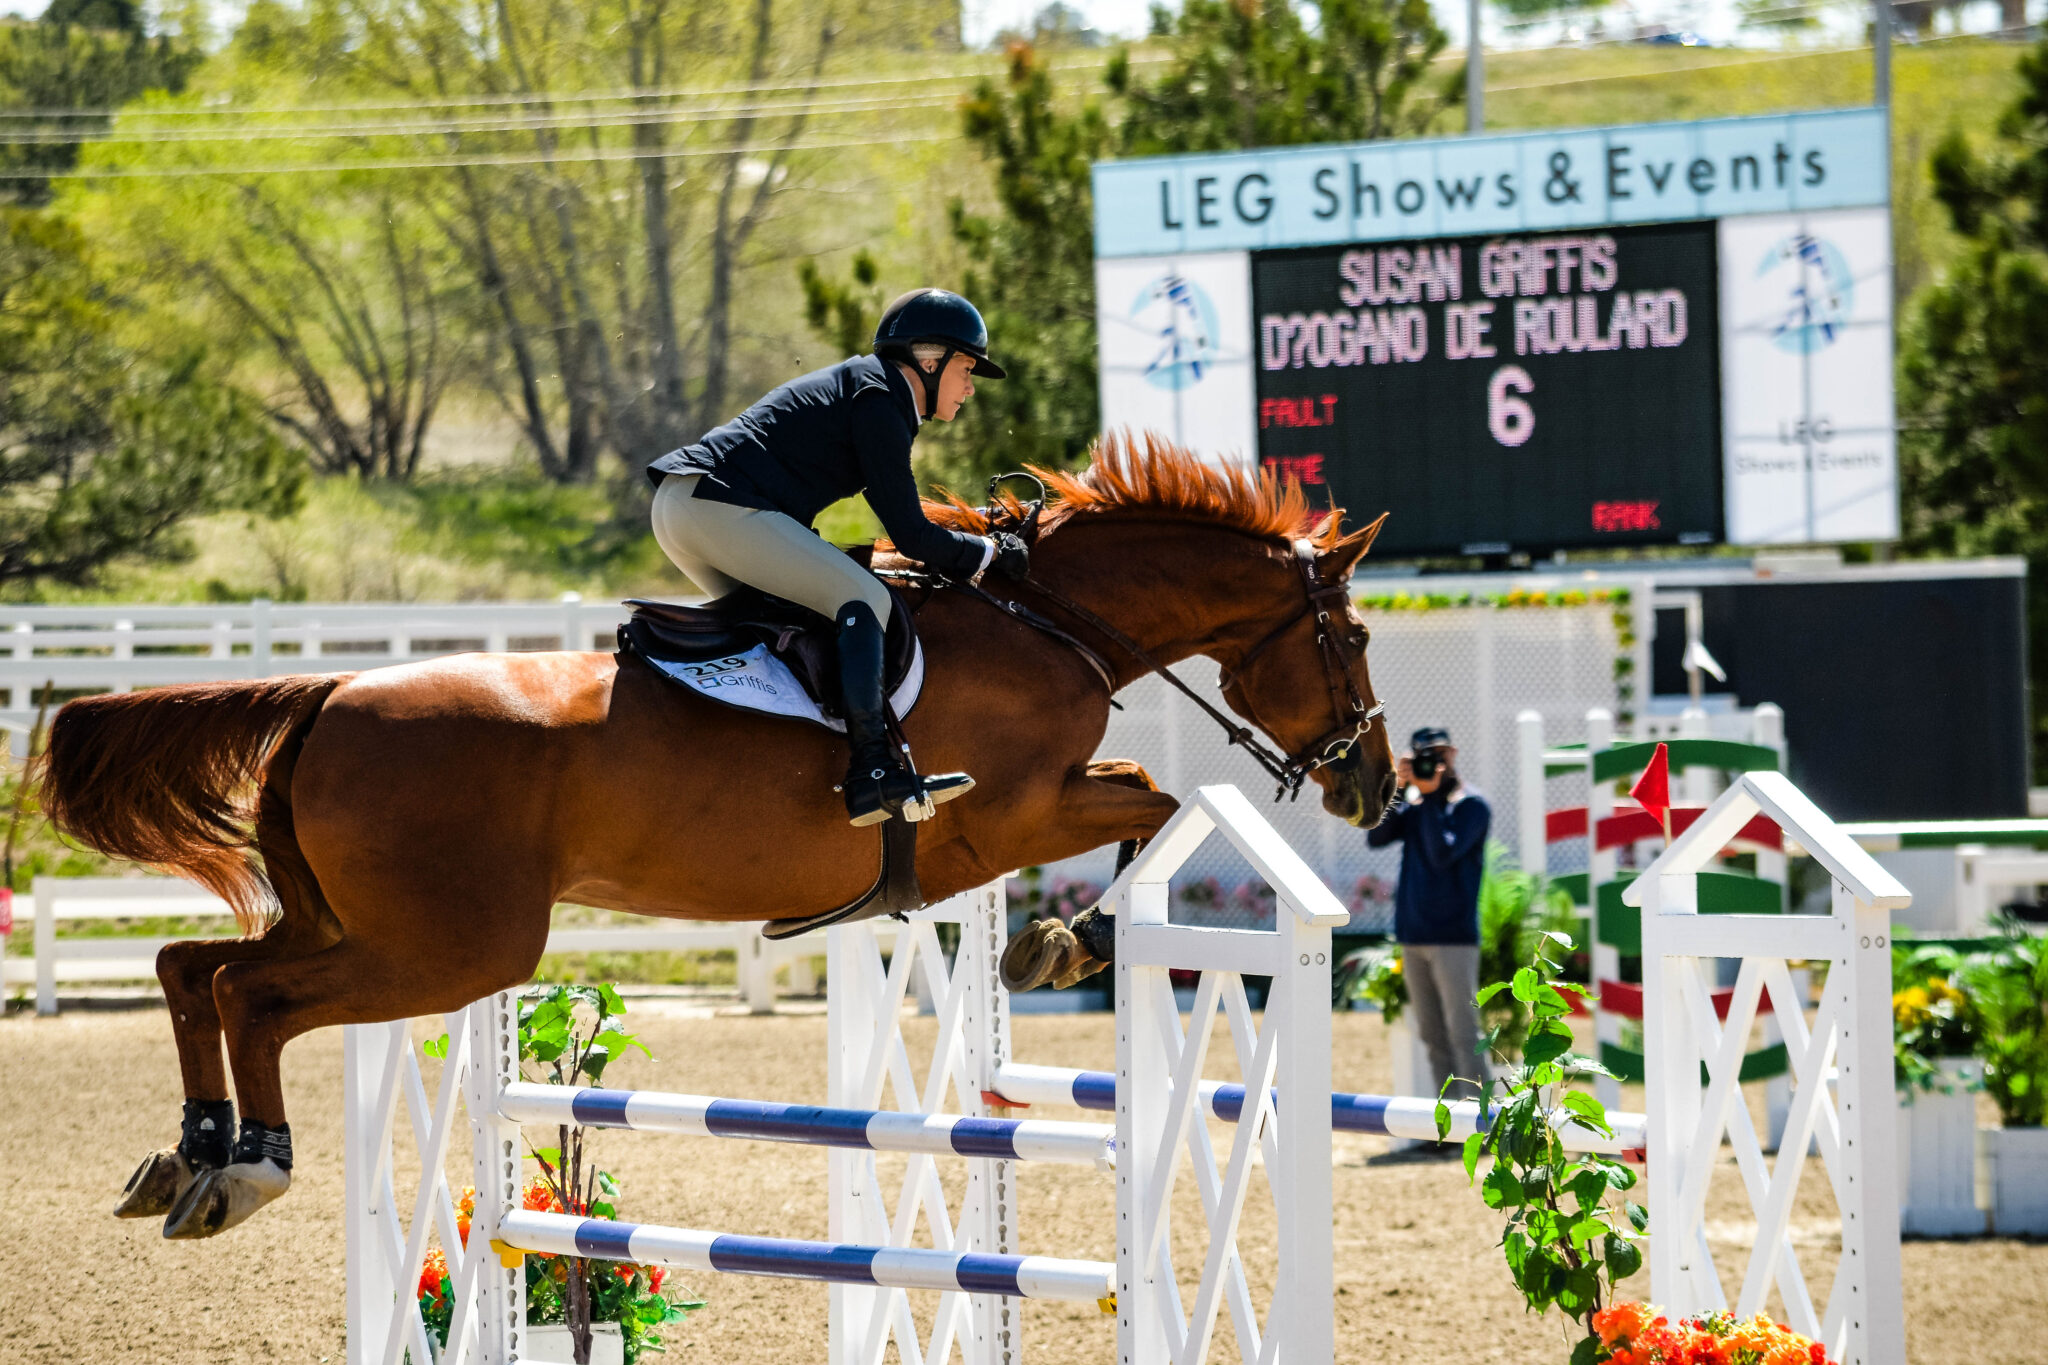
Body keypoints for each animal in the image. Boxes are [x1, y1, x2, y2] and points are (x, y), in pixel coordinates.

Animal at [36, 434, 1398, 1241]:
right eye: (1350, 639)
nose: (1372, 790)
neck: (1046, 618)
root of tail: (328, 694)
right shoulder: (1008, 817)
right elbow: (1150, 801)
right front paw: (1067, 943)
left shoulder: (1028, 810)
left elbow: (1137, 792)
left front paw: (1050, 946)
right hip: (451, 949)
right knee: (252, 995)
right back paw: (249, 1167)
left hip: (367, 925)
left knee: (190, 967)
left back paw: (185, 1157)